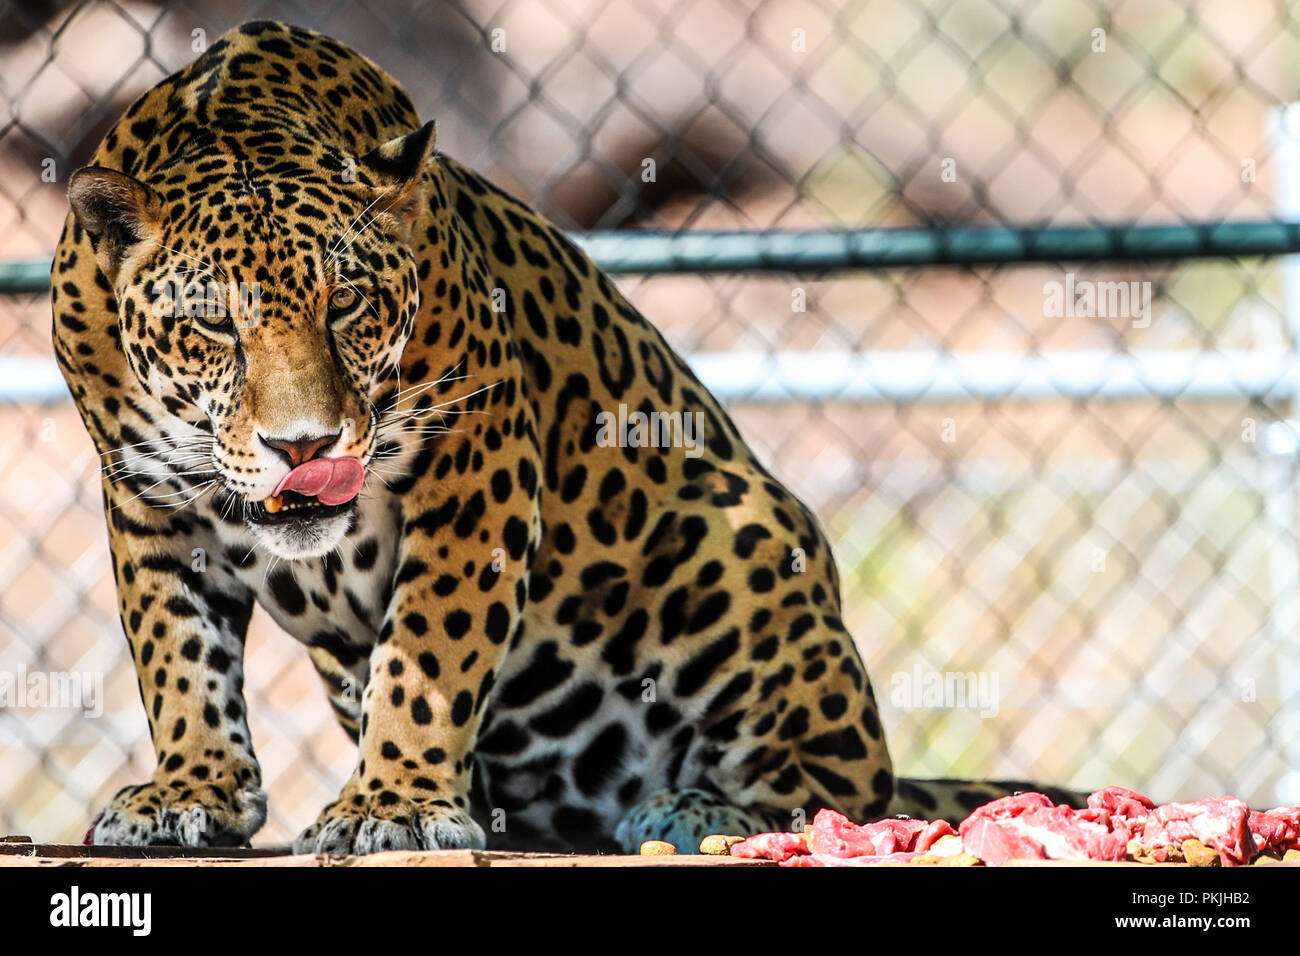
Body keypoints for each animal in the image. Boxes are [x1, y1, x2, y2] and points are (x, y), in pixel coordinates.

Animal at [50, 20, 1079, 854]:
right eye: (211, 324)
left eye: (347, 304)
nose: (305, 446)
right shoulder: (144, 499)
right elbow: (177, 651)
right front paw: (193, 789)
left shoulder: (476, 459)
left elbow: (428, 652)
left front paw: (395, 802)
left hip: (740, 543)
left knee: (849, 793)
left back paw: (697, 809)